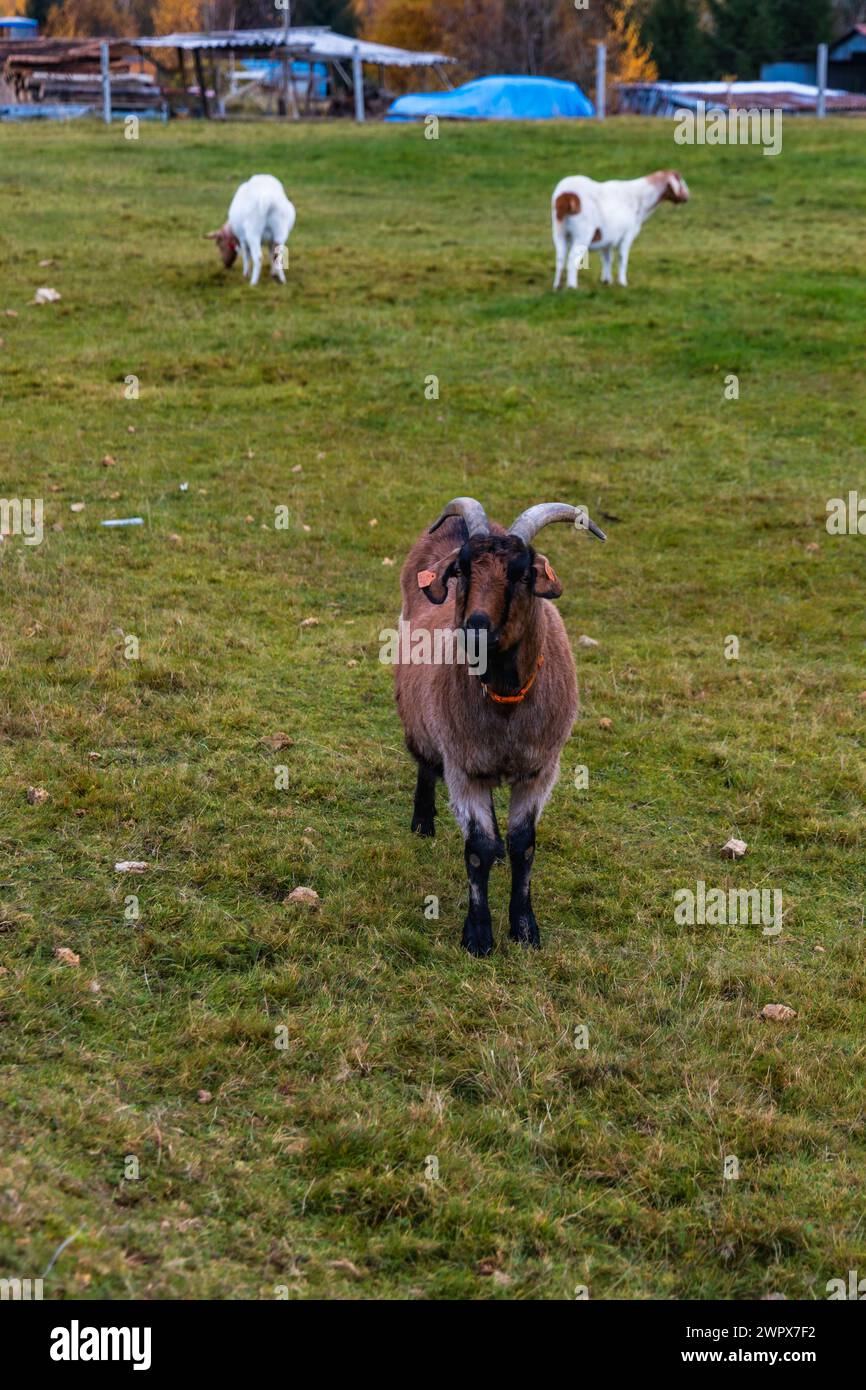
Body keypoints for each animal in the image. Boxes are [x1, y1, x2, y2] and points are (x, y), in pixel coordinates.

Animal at [395, 498, 606, 956]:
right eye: (461, 571)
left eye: (522, 573)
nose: (476, 628)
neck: (506, 703)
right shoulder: (463, 767)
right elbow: (478, 848)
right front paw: (478, 935)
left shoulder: (540, 770)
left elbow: (522, 846)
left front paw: (525, 929)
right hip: (421, 722)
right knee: (425, 764)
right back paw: (423, 822)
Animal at [551, 169, 689, 291]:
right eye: (680, 180)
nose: (687, 196)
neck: (640, 199)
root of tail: (565, 195)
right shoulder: (627, 235)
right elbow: (622, 258)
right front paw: (622, 283)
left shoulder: (607, 239)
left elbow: (607, 259)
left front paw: (606, 281)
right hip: (583, 233)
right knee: (572, 258)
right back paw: (572, 286)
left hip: (558, 231)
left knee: (560, 257)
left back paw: (557, 286)